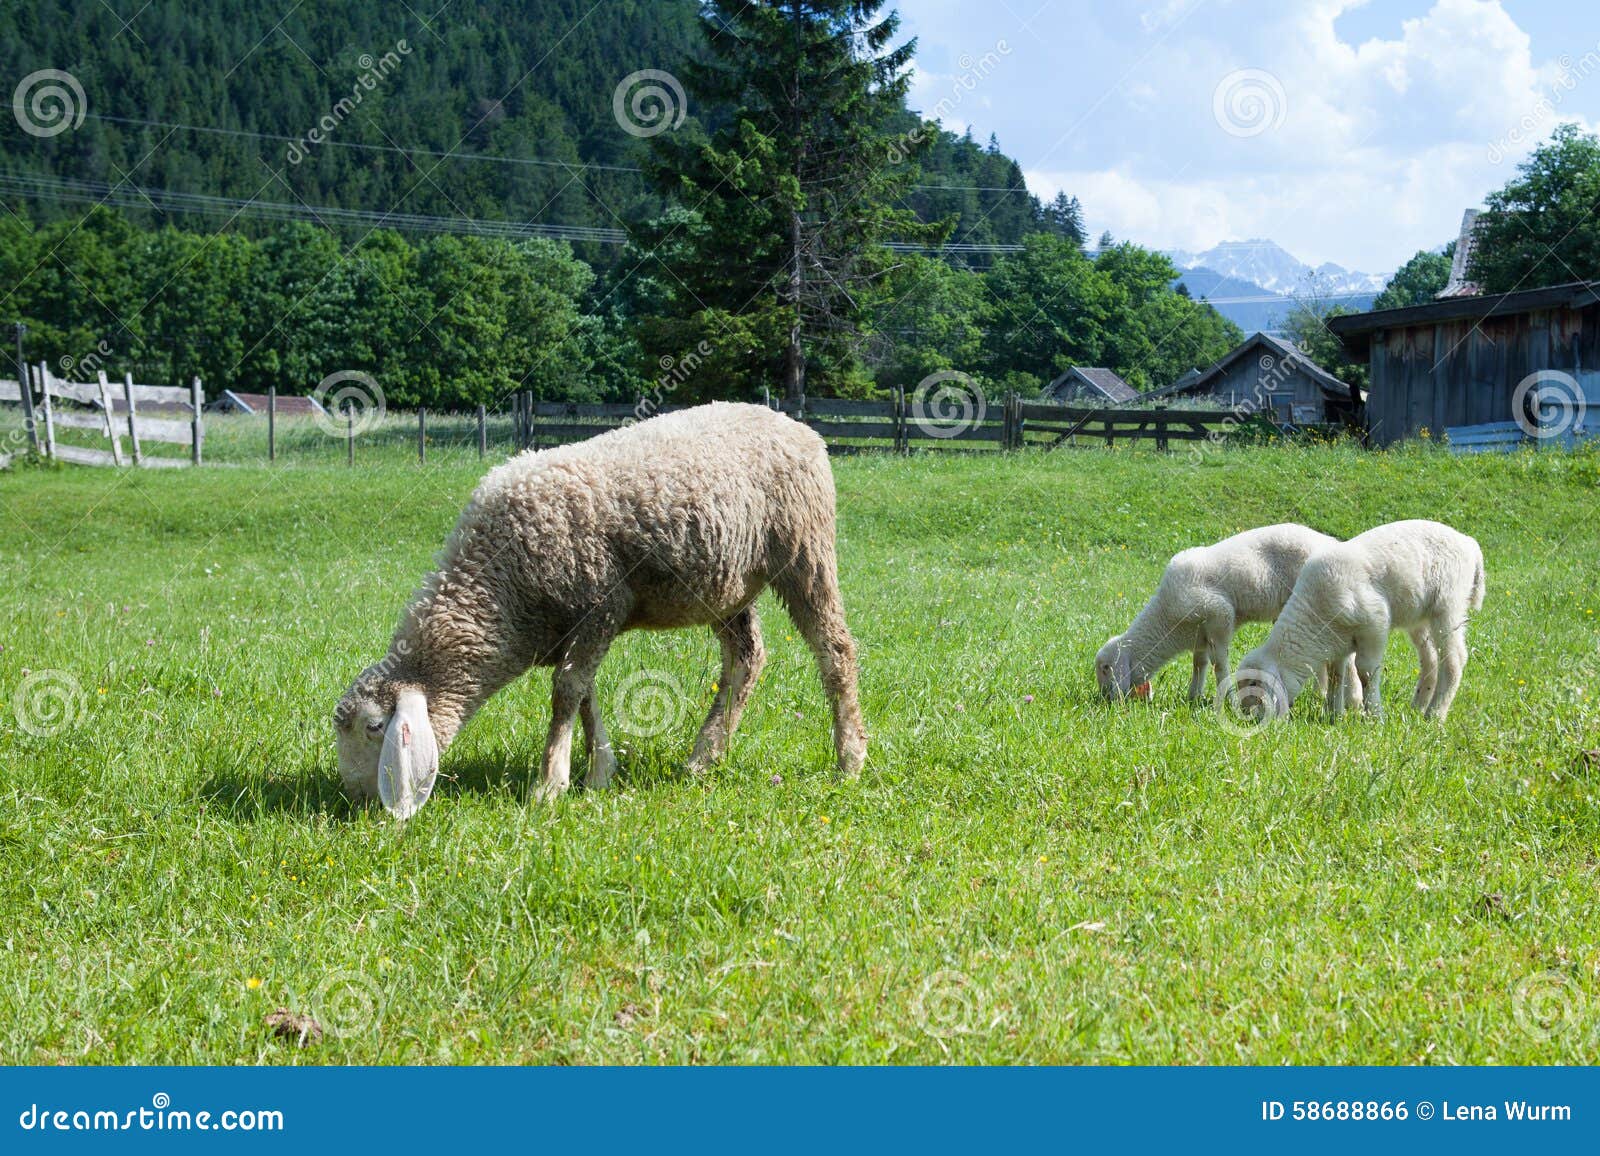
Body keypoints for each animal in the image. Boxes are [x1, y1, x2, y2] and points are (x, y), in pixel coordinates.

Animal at [334, 402, 868, 818]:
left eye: (375, 728)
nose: (355, 799)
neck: (499, 586)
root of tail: (795, 425)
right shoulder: (571, 627)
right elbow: (585, 693)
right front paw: (599, 771)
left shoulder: (602, 603)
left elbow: (566, 691)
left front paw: (550, 785)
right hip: (727, 585)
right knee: (747, 657)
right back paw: (705, 755)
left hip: (805, 550)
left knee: (835, 650)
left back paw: (849, 758)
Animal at [1094, 523, 1361, 705]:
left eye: (1106, 668)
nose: (1106, 699)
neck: (1167, 621)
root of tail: (1330, 543)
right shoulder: (1199, 633)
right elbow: (1199, 663)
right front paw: (1193, 696)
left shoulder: (1219, 616)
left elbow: (1219, 665)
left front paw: (1228, 699)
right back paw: (1321, 694)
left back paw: (1352, 700)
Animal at [1234, 519, 1485, 722]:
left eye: (1254, 684)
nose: (1246, 716)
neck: (1314, 615)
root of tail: (1469, 543)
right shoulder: (1336, 639)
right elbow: (1336, 675)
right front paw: (1334, 715)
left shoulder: (1375, 624)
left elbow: (1365, 671)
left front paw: (1374, 716)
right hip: (1419, 617)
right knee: (1431, 658)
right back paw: (1418, 706)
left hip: (1448, 605)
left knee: (1454, 659)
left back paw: (1434, 715)